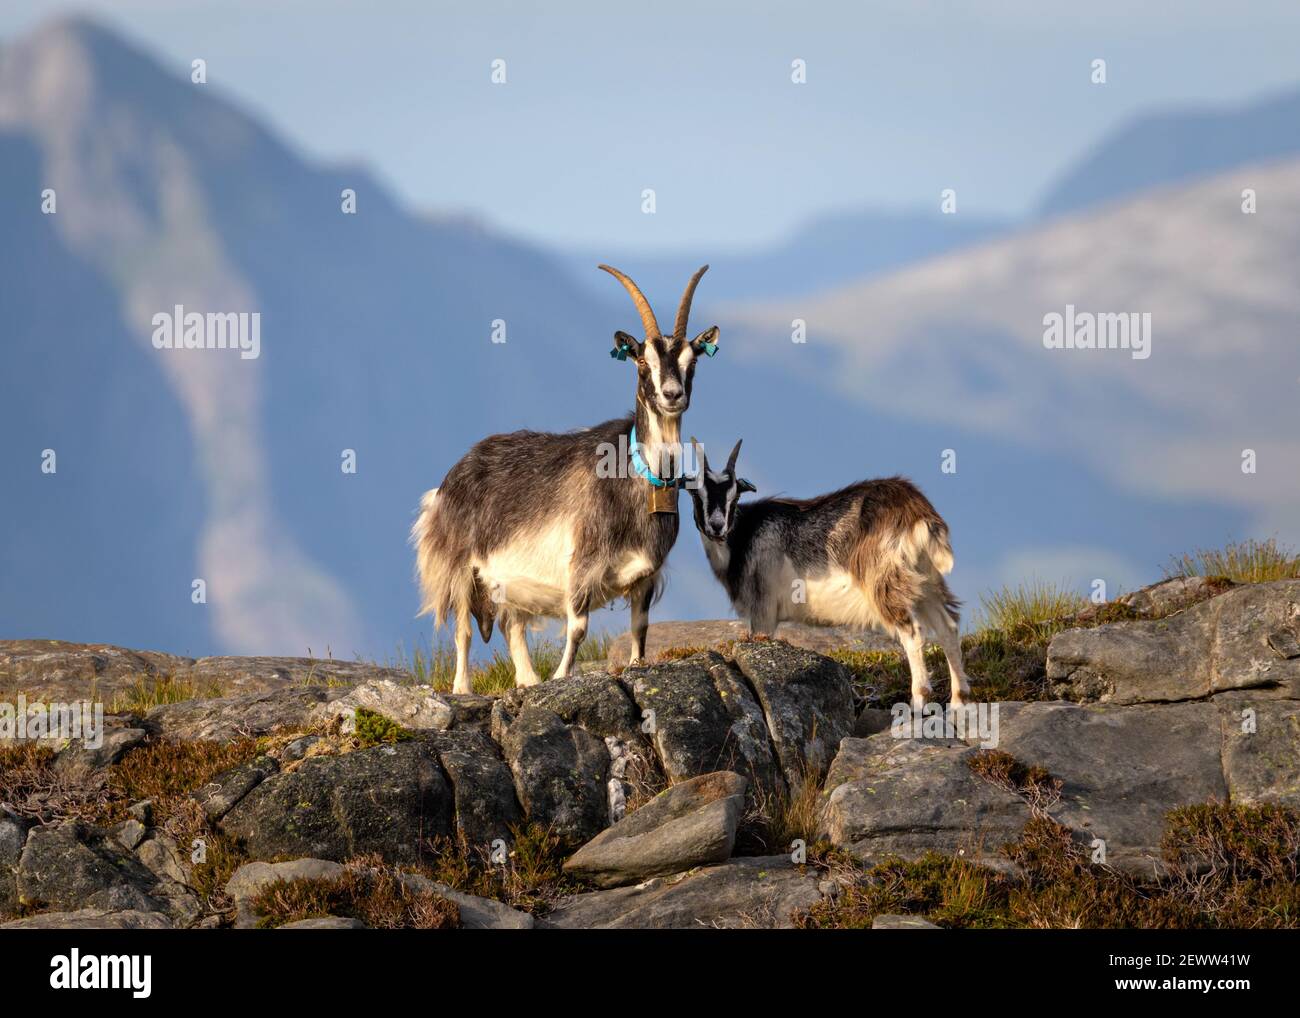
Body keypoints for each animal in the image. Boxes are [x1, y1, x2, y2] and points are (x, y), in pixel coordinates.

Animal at [411, 266, 719, 693]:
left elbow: (640, 629)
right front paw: (561, 676)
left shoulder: (647, 575)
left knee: (511, 625)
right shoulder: (581, 567)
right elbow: (578, 628)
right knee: (463, 630)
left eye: (693, 361)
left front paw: (637, 667)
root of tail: (448, 481)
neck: (636, 475)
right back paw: (463, 688)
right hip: (458, 565)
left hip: (508, 581)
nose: (673, 395)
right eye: (642, 361)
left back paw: (528, 680)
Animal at [683, 438, 971, 711]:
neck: (742, 537)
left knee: (912, 631)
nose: (717, 526)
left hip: (885, 580)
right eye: (697, 493)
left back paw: (919, 701)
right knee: (947, 627)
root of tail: (916, 510)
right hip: (924, 581)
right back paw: (959, 699)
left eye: (734, 496)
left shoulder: (762, 610)